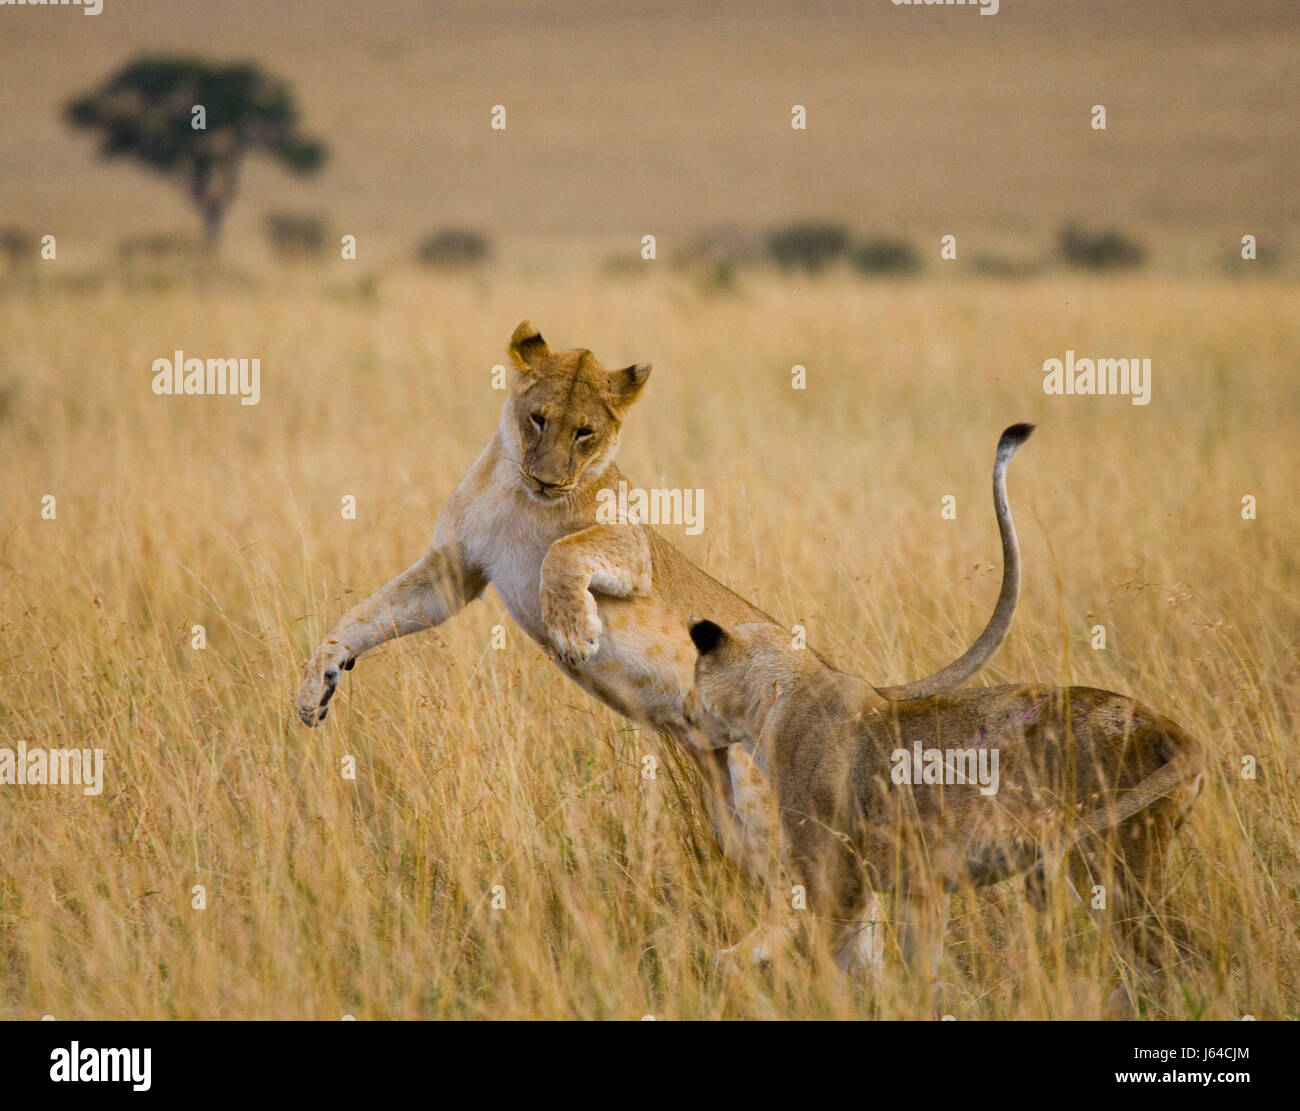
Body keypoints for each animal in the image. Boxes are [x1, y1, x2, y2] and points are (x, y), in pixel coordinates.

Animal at [295, 323, 1027, 900]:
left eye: (585, 434)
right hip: (733, 810)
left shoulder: (630, 547)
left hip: (770, 792)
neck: (516, 493)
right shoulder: (451, 573)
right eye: (538, 419)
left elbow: (562, 549)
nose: (548, 480)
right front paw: (315, 689)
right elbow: (359, 618)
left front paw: (575, 630)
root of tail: (858, 688)